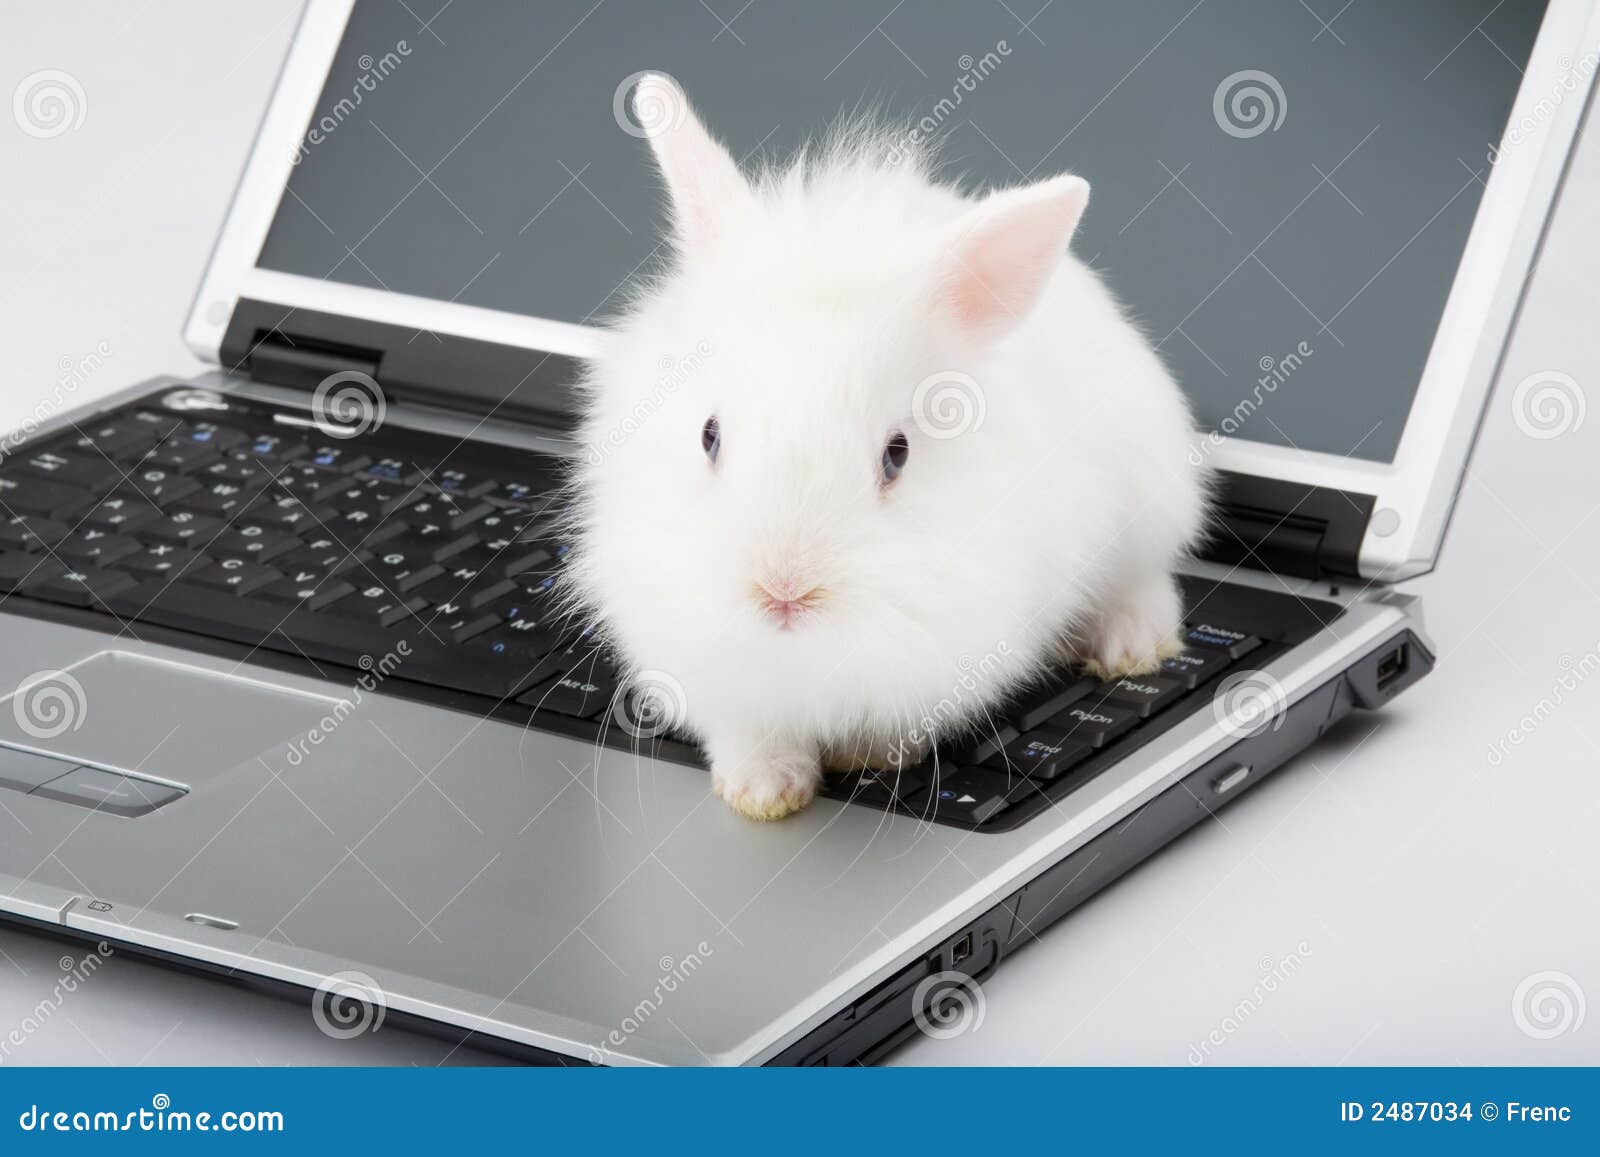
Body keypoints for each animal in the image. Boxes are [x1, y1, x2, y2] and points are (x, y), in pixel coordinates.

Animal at [565, 74, 1208, 822]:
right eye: (709, 435)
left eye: (896, 454)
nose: (784, 592)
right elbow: (749, 728)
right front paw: (762, 790)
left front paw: (866, 755)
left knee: (1148, 581)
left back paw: (1132, 644)